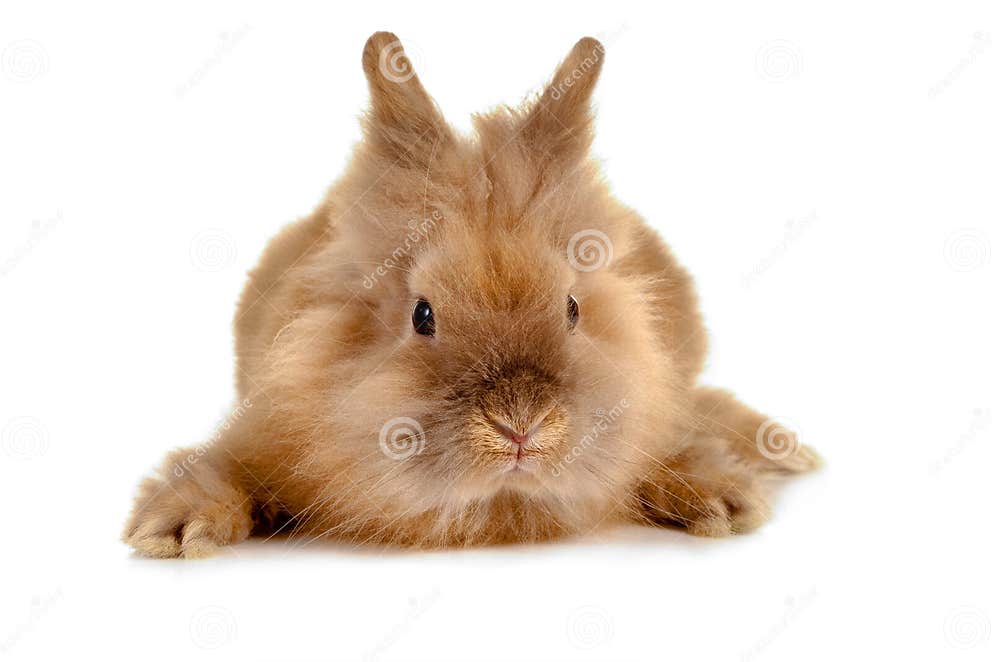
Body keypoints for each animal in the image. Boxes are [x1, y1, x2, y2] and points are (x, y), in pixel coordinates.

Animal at [122, 32, 820, 558]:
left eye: (573, 309)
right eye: (421, 315)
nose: (520, 426)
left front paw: (725, 500)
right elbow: (215, 467)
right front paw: (172, 528)